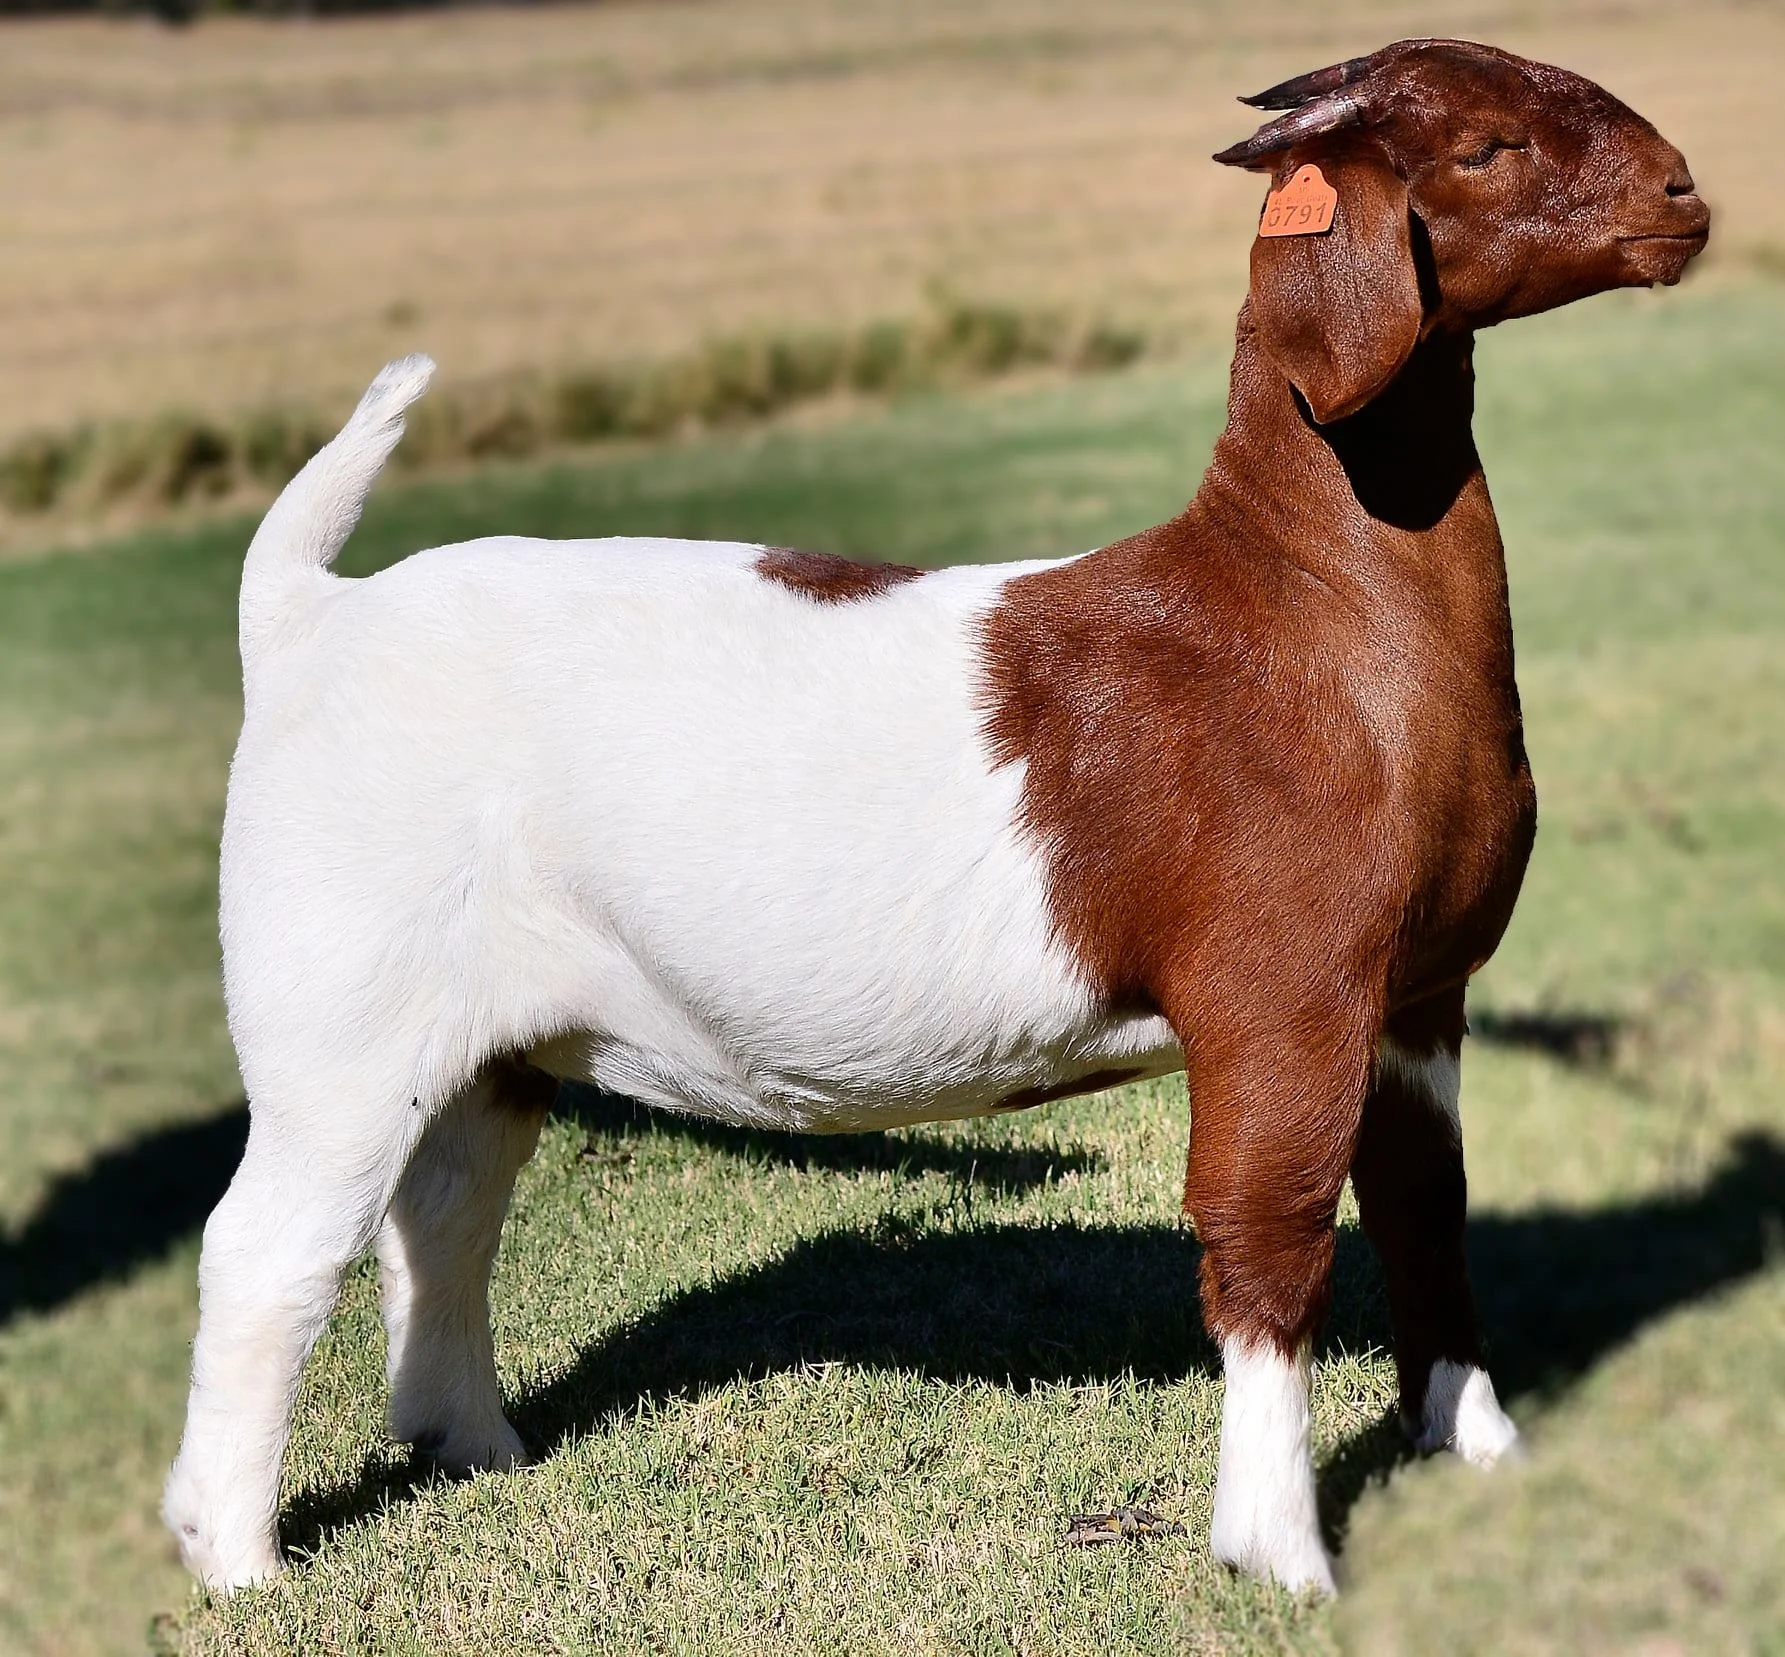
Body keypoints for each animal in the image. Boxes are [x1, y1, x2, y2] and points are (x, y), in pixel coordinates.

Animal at [165, 38, 1708, 1596]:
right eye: (1487, 147)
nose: (1685, 196)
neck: (1297, 602)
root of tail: (303, 616)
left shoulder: (1419, 997)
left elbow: (1425, 1212)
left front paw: (1481, 1445)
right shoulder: (1284, 998)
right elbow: (1268, 1243)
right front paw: (1280, 1552)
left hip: (491, 1027)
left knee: (444, 1213)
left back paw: (470, 1445)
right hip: (337, 1001)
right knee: (269, 1252)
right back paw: (237, 1556)